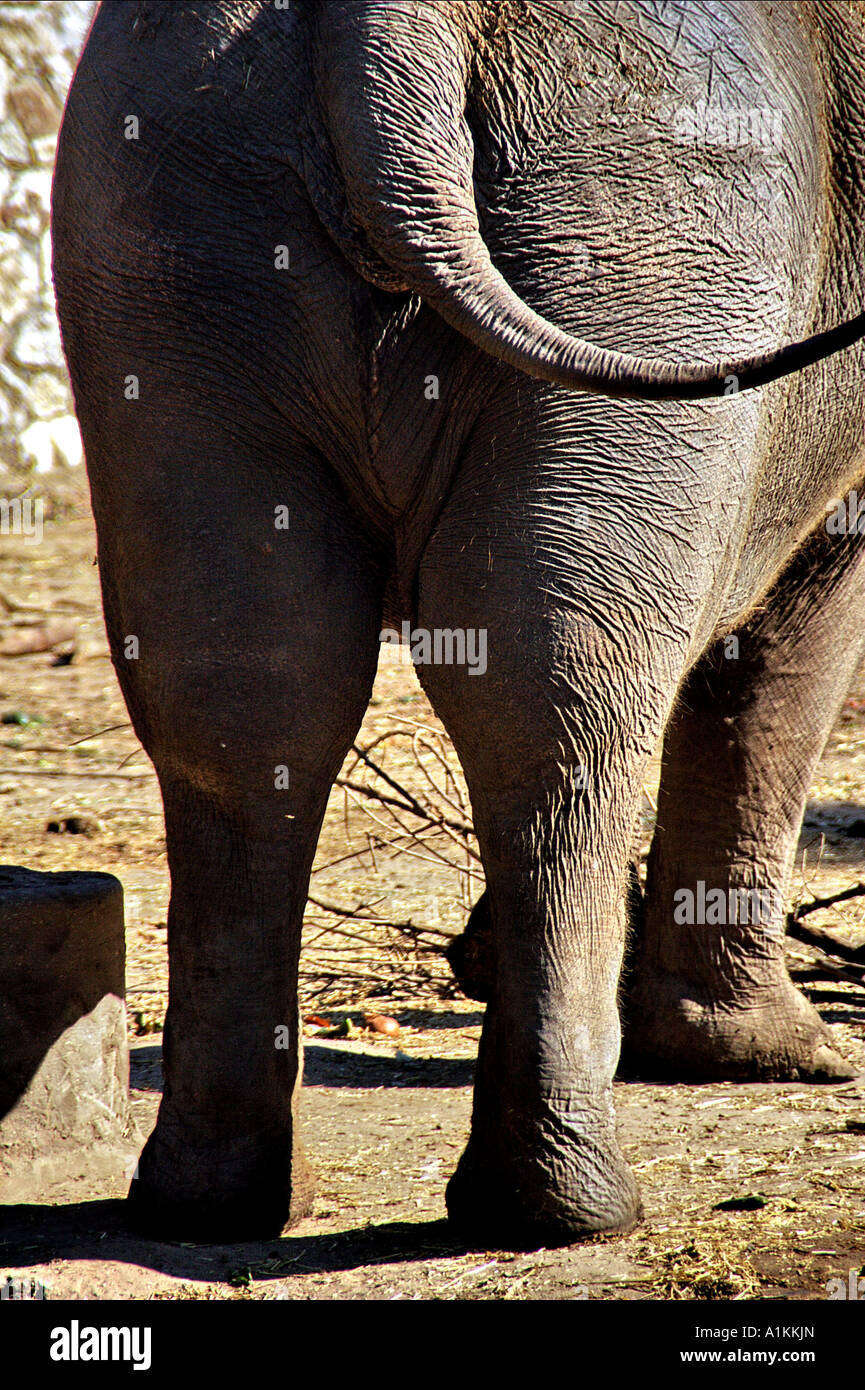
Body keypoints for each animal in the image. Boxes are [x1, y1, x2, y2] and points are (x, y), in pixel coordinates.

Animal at [52, 0, 865, 1247]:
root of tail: (395, 31)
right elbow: (793, 624)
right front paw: (791, 1060)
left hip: (172, 243)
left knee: (251, 689)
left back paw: (204, 1204)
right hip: (647, 231)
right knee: (569, 685)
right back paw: (570, 1211)